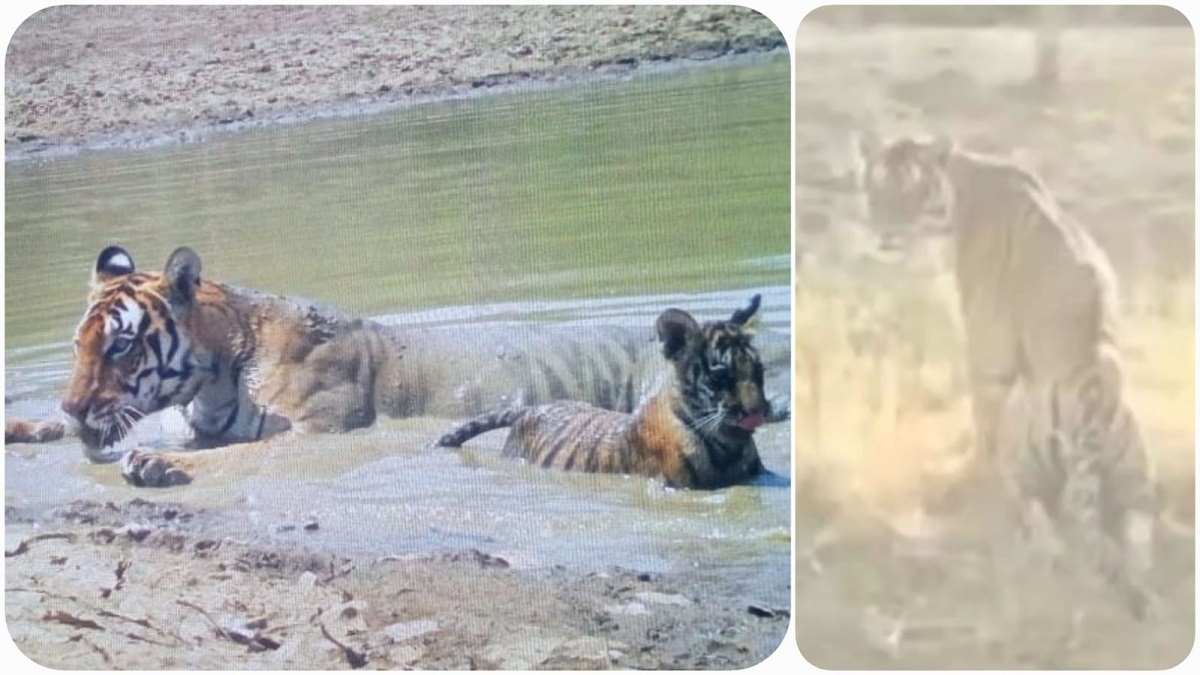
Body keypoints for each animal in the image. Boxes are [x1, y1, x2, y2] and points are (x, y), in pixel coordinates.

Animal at [853, 132, 1158, 617]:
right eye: (877, 192)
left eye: (913, 194)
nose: (887, 236)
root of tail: (1091, 394)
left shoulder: (988, 352)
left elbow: (982, 421)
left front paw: (969, 470)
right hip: (1136, 477)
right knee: (1136, 534)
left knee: (1046, 522)